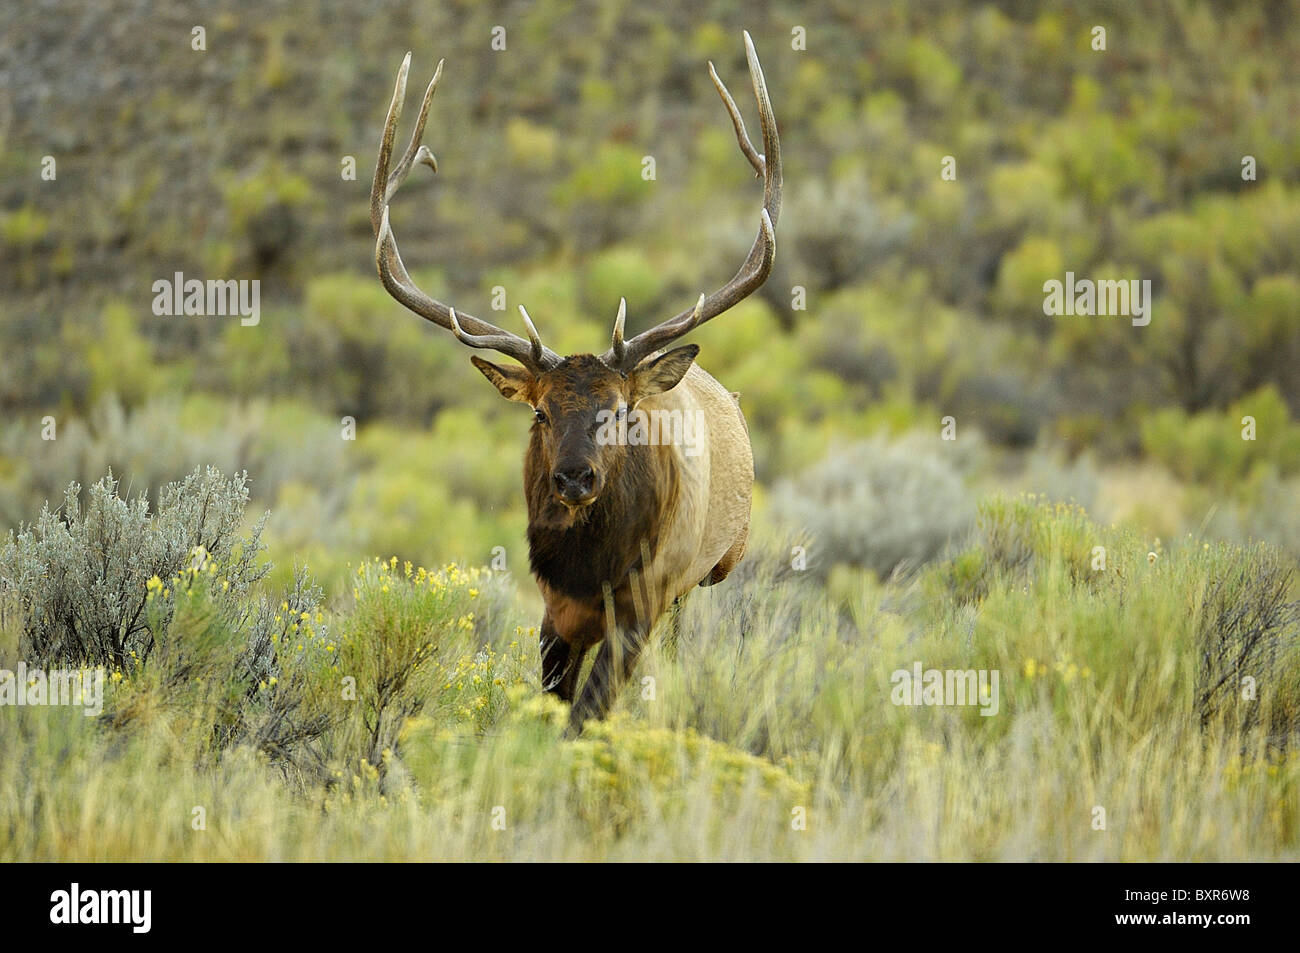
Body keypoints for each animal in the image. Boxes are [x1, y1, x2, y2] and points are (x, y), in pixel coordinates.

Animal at [370, 32, 780, 733]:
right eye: (539, 413)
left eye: (618, 411)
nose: (573, 478)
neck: (591, 568)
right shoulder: (553, 609)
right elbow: (553, 708)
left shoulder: (642, 601)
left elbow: (589, 713)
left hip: (712, 569)